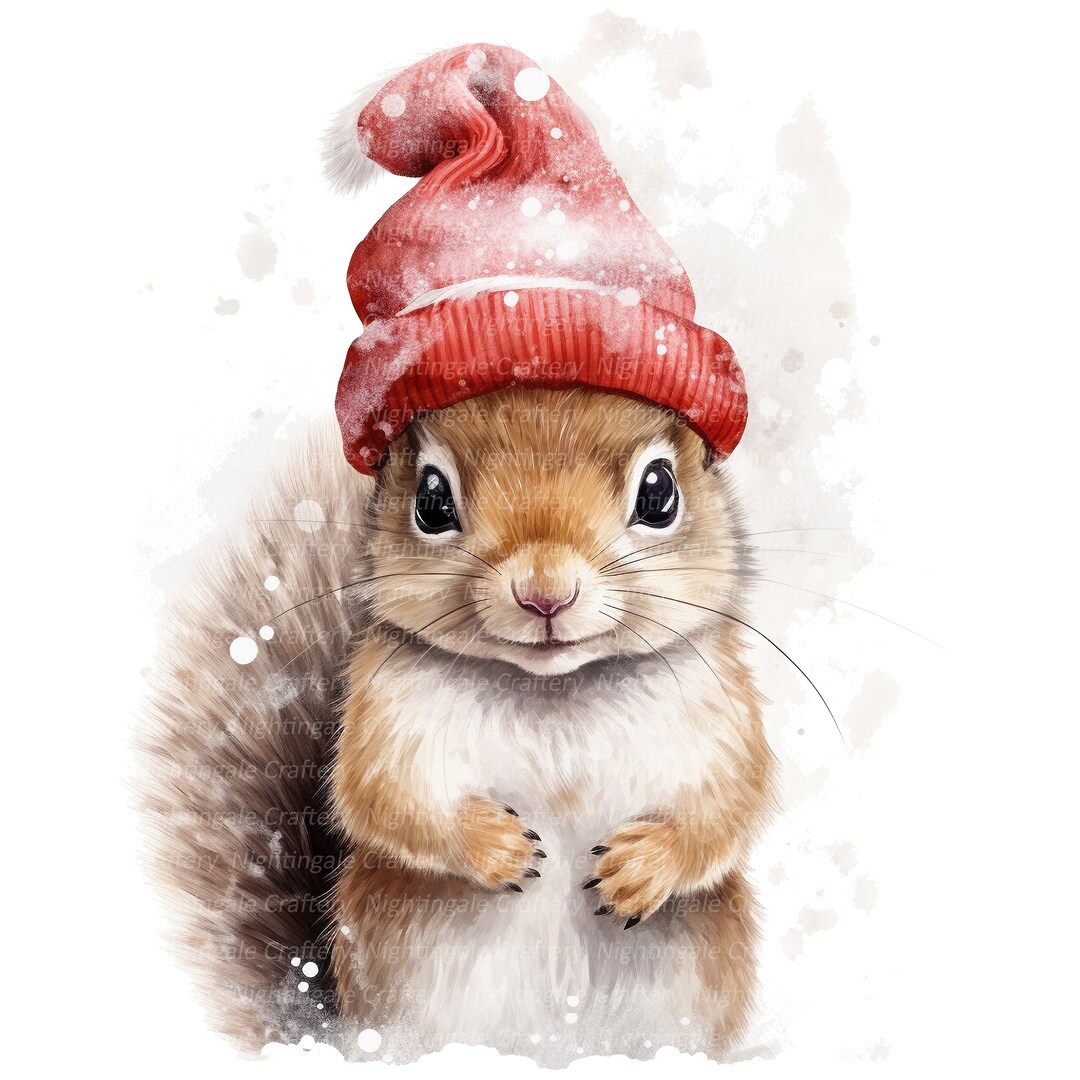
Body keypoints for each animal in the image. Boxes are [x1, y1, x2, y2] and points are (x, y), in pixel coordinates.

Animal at [136, 44, 778, 1065]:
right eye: (431, 500)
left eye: (660, 493)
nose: (546, 592)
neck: (556, 697)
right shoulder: (384, 713)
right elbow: (383, 798)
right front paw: (499, 849)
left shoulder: (723, 713)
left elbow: (732, 805)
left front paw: (643, 866)